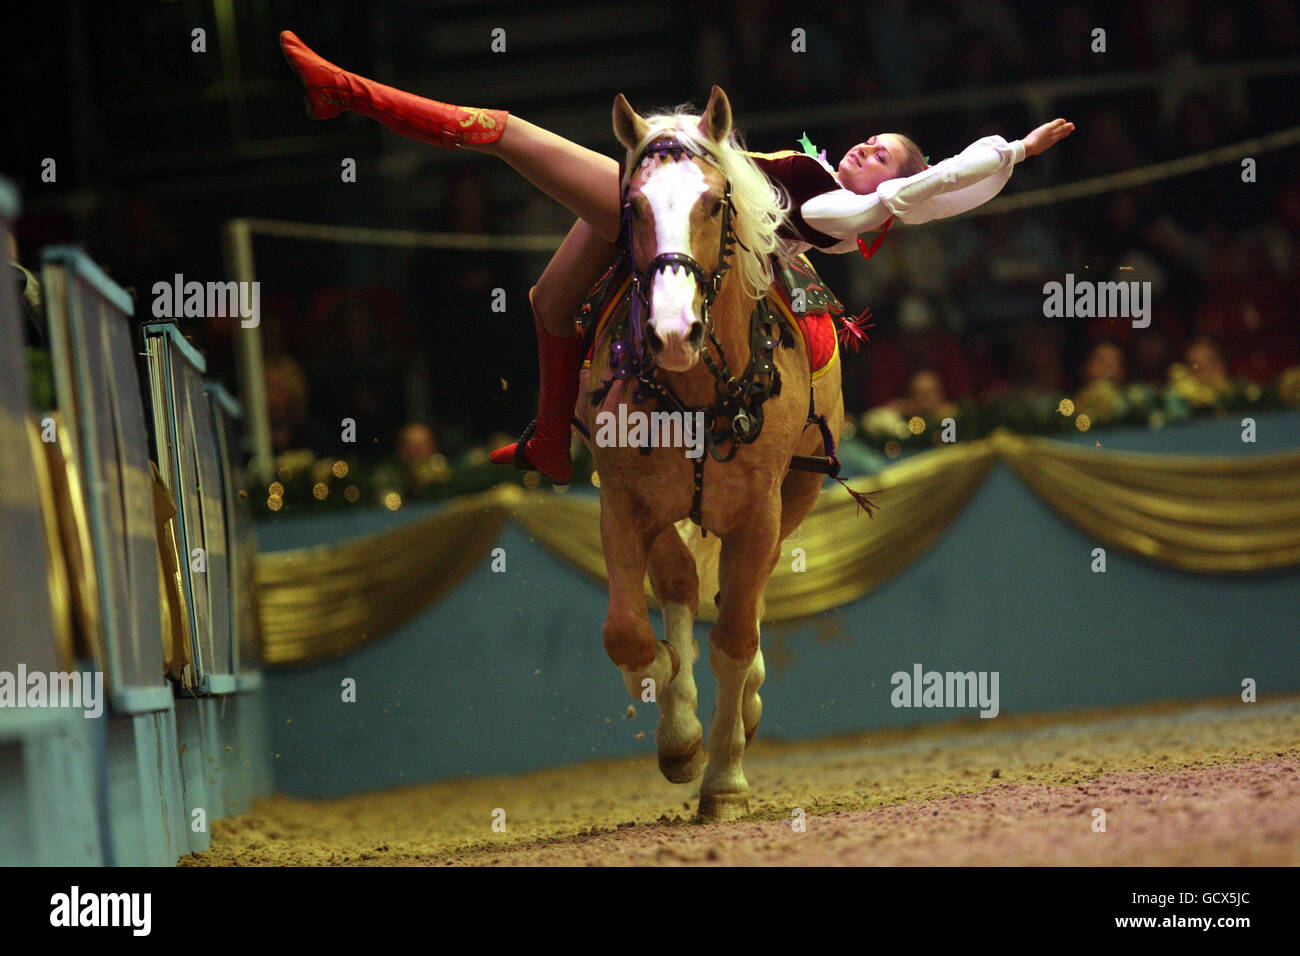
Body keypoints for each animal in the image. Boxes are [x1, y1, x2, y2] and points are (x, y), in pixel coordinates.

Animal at [578, 85, 846, 822]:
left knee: (740, 603)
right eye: (633, 207)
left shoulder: (759, 512)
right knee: (678, 583)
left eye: (714, 204)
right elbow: (627, 635)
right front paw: (681, 728)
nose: (674, 329)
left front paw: (724, 777)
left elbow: (733, 640)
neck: (698, 392)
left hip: (796, 497)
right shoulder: (622, 502)